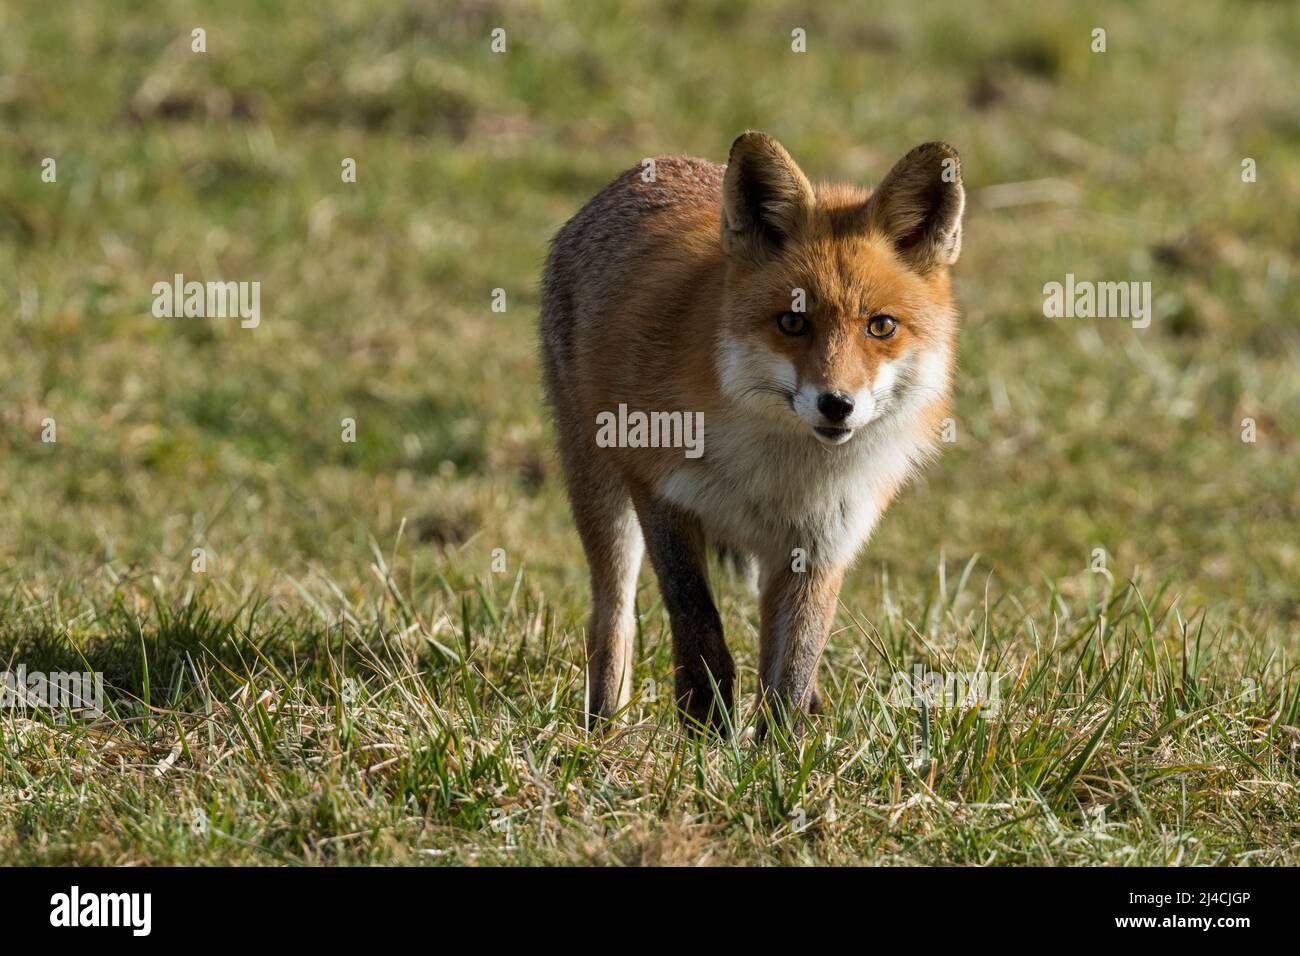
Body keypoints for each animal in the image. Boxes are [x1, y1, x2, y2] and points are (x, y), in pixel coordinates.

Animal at [540, 132, 964, 733]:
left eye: (880, 326)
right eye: (792, 322)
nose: (837, 404)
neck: (782, 468)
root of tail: (649, 167)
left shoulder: (824, 539)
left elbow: (795, 662)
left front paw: (778, 748)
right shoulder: (659, 488)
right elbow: (695, 617)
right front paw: (704, 722)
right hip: (598, 487)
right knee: (611, 617)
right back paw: (603, 728)